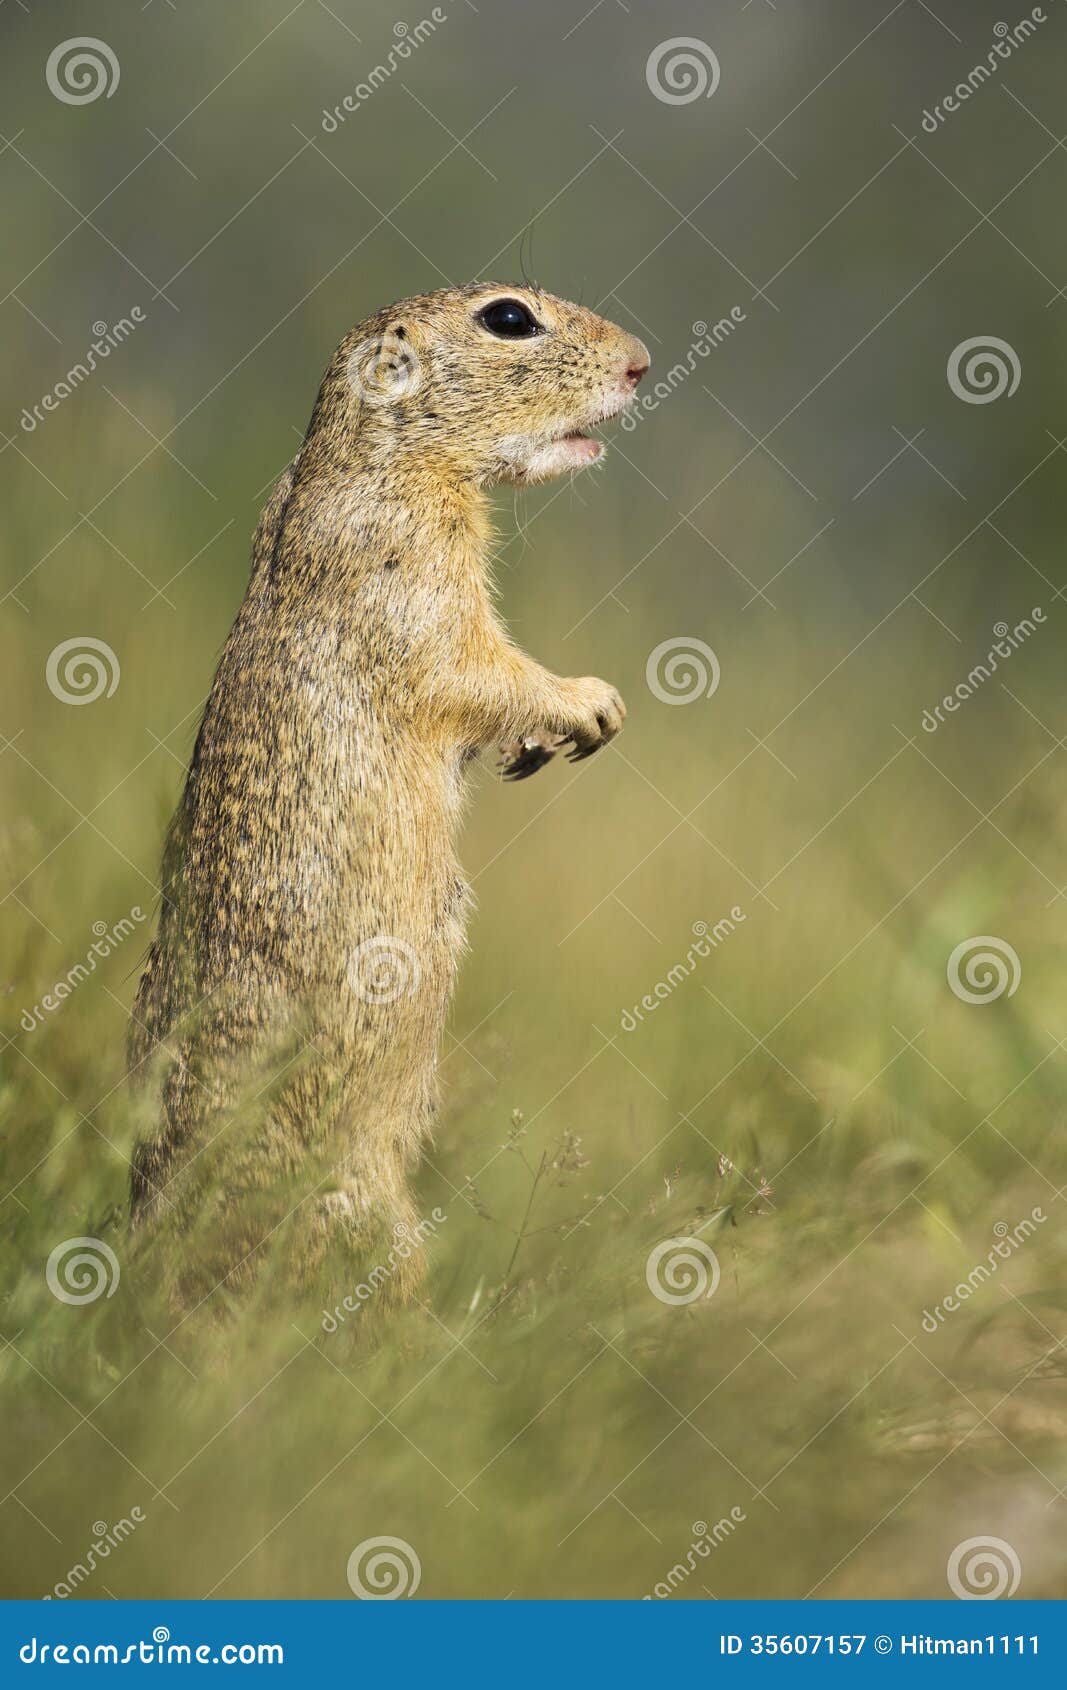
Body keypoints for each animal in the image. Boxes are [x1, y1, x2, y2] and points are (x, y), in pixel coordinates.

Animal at [127, 283, 650, 1314]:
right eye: (508, 319)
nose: (641, 362)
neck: (379, 453)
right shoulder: (409, 567)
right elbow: (475, 666)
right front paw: (588, 703)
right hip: (351, 1204)